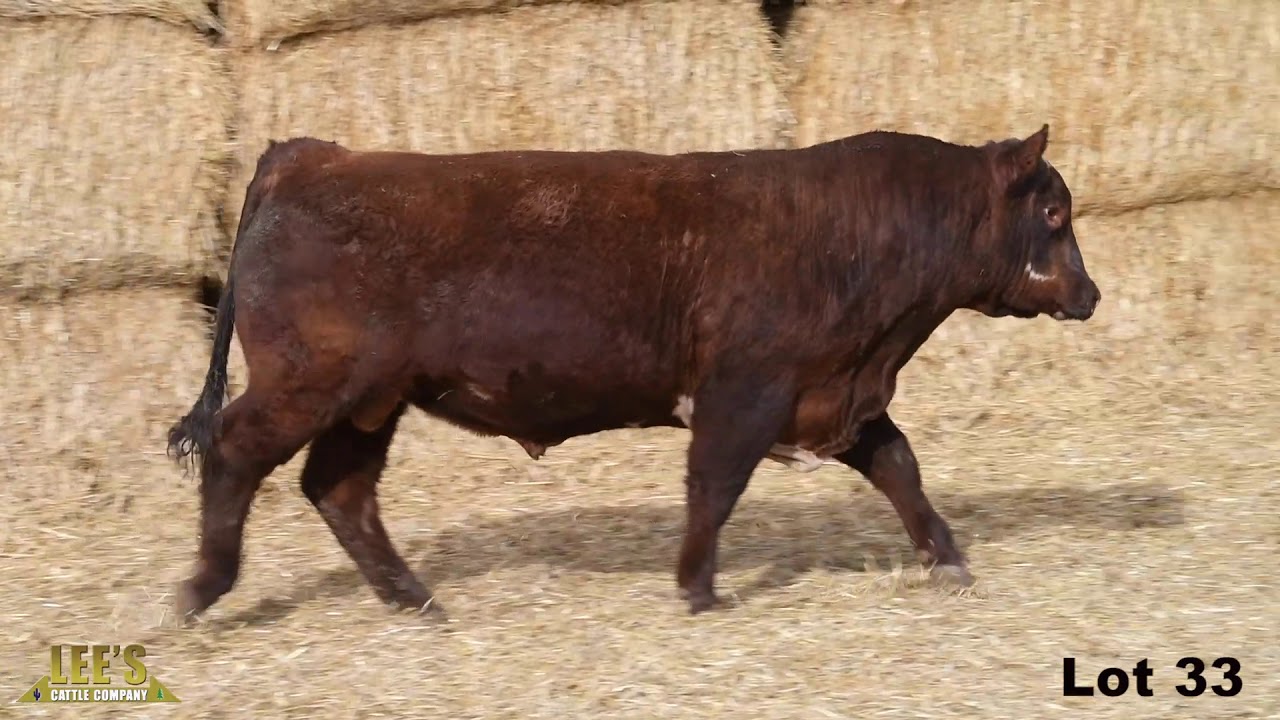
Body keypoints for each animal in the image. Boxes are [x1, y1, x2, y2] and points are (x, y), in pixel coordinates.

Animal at [167, 124, 1100, 622]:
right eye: (1055, 212)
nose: (1089, 295)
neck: (854, 232)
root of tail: (317, 157)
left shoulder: (837, 397)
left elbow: (901, 468)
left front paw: (947, 558)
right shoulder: (744, 395)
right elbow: (714, 487)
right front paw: (698, 588)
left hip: (370, 401)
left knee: (341, 489)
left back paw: (414, 599)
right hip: (309, 384)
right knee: (237, 451)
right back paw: (201, 589)